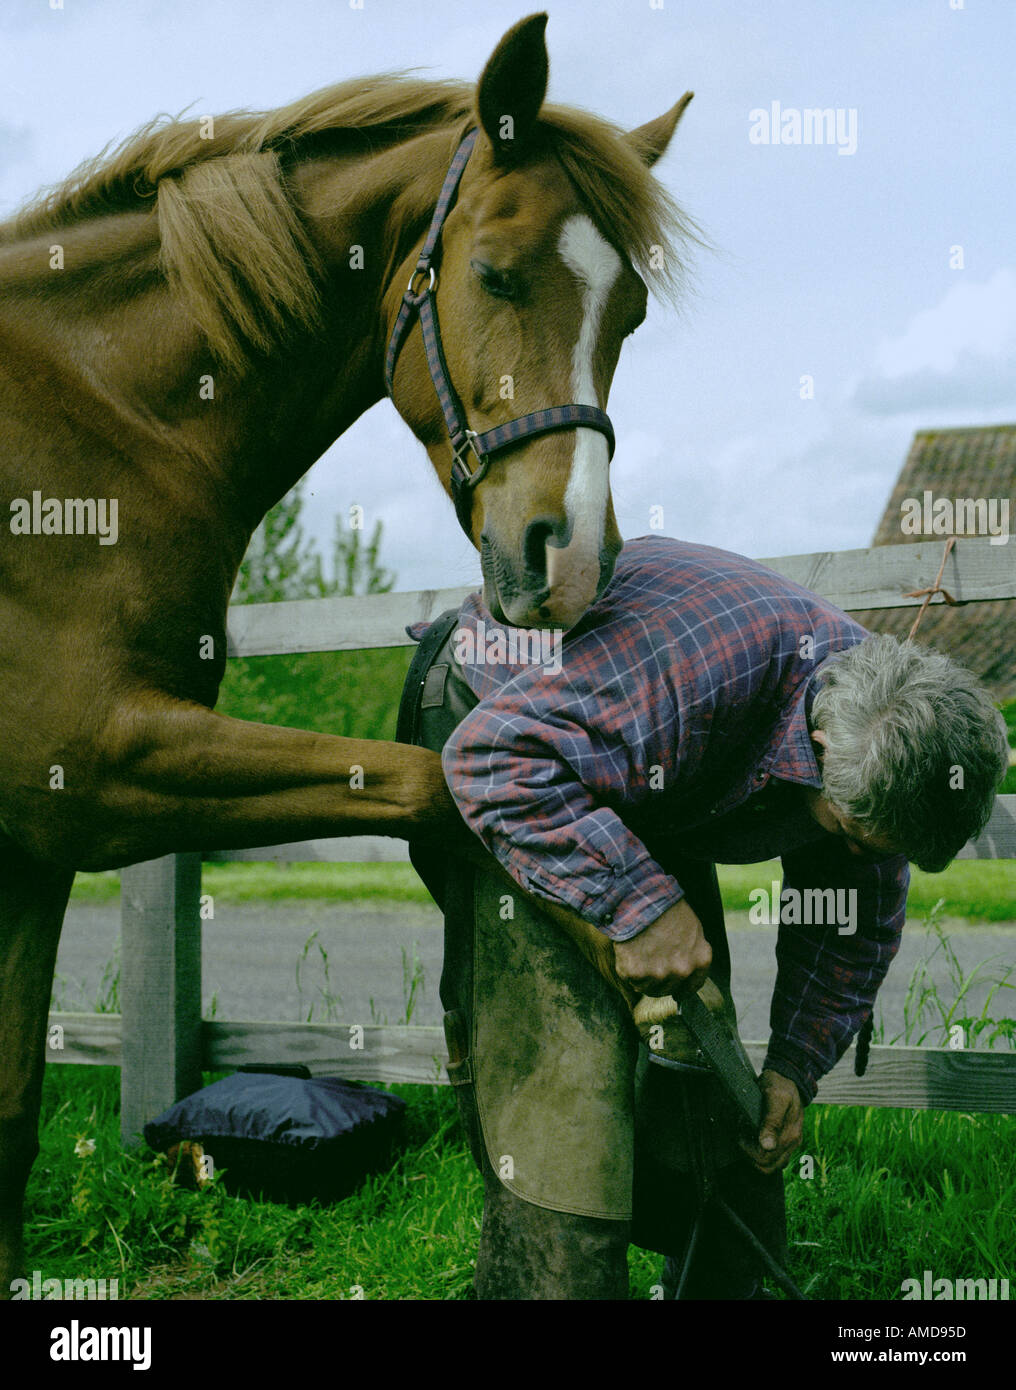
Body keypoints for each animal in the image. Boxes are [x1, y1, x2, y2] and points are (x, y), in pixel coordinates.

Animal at [0, 12, 695, 1291]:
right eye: (493, 273)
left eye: (624, 313)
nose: (569, 559)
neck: (87, 430)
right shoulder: (103, 762)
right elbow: (432, 784)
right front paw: (649, 958)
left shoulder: (39, 835)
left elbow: (12, 1118)